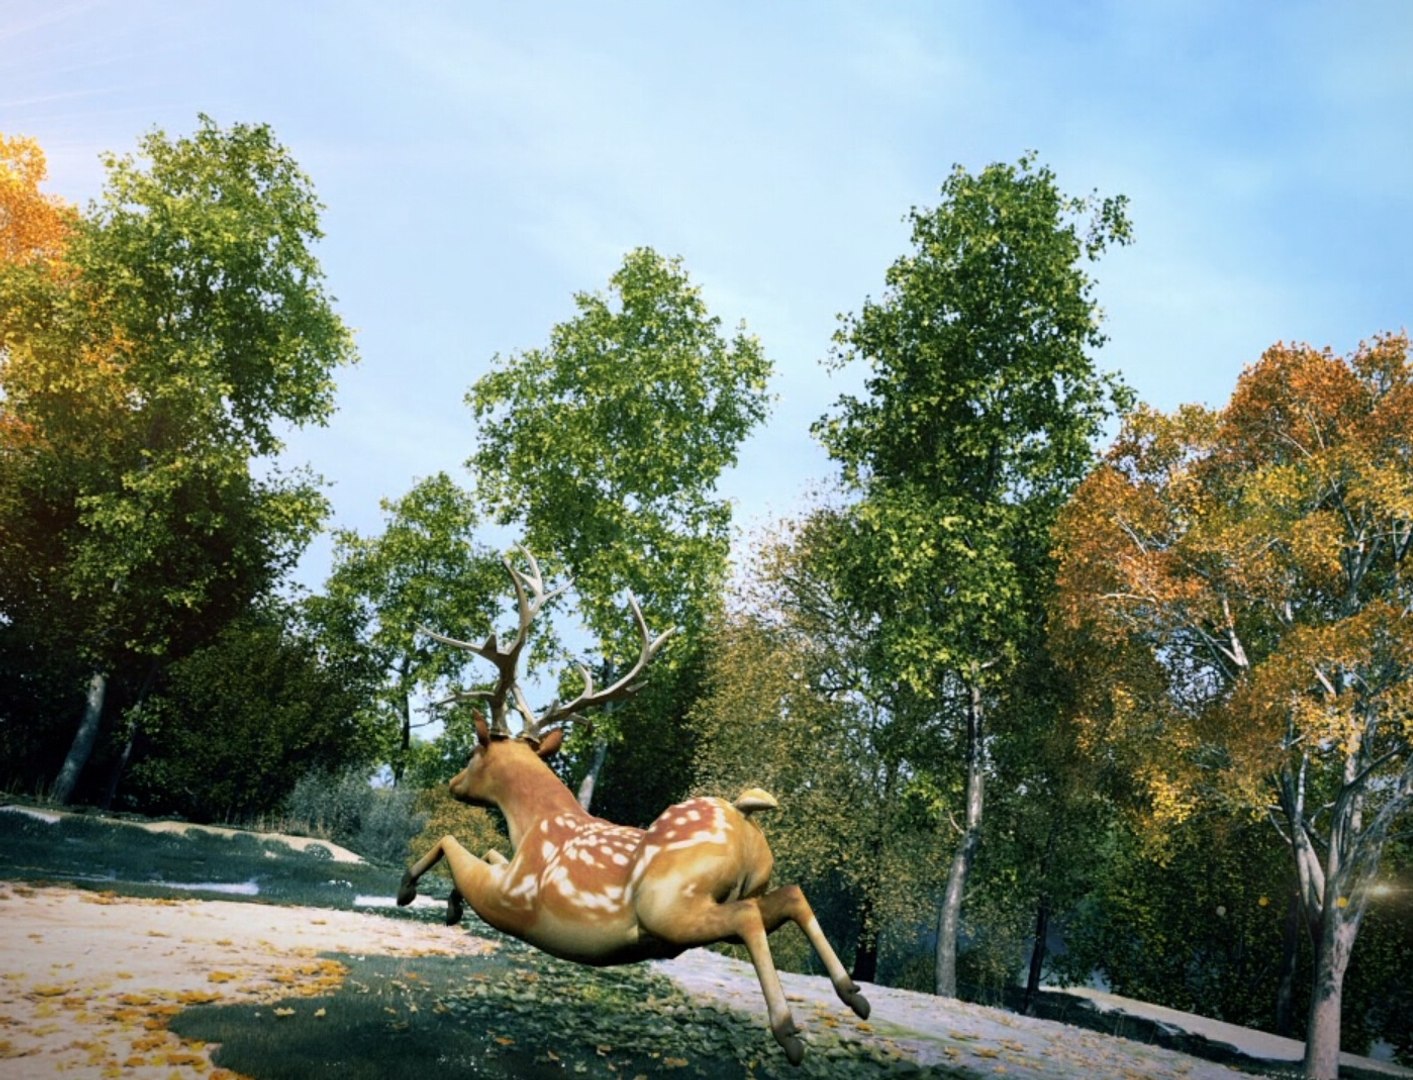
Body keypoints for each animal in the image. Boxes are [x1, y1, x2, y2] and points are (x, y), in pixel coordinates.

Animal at [397, 548, 870, 1065]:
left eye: (473, 752)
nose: (453, 784)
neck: (535, 824)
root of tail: (743, 816)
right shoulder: (508, 870)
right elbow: (483, 852)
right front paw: (450, 903)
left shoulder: (513, 901)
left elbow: (453, 844)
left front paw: (410, 891)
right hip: (729, 896)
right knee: (791, 896)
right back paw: (853, 995)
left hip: (670, 908)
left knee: (749, 917)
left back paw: (790, 1033)